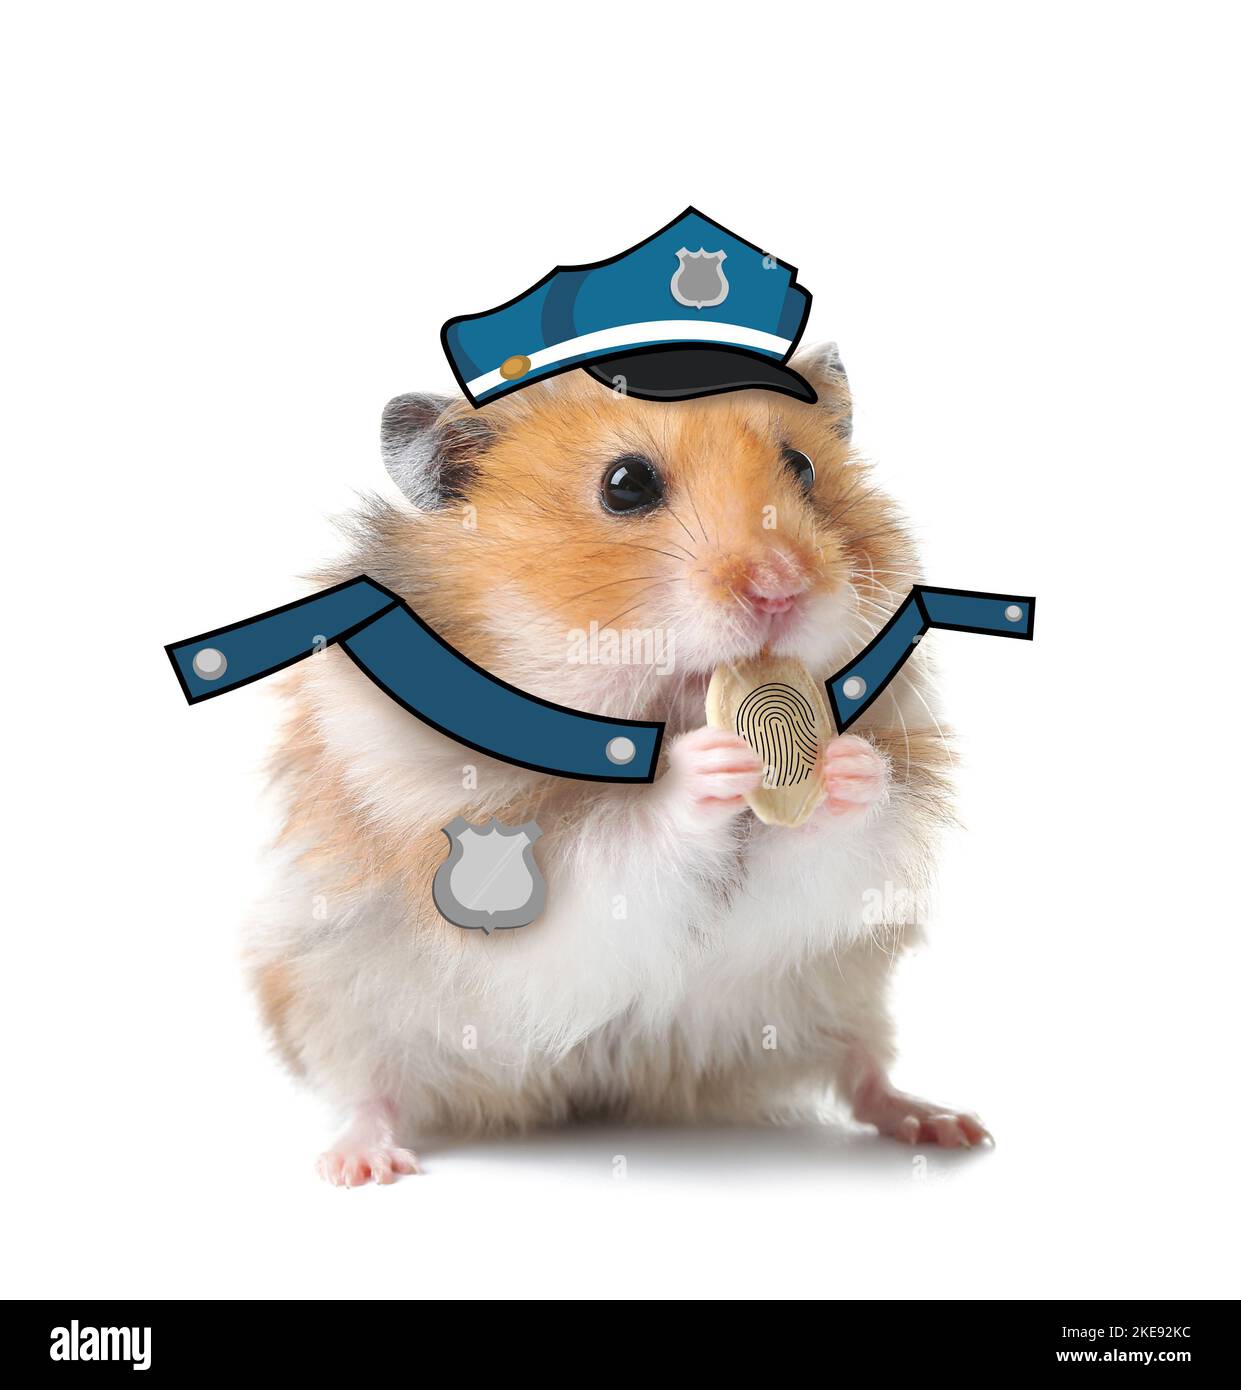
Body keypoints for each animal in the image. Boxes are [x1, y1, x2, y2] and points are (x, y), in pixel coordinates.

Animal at [246, 344, 989, 1185]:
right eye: (625, 485)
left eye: (801, 466)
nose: (781, 589)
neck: (663, 712)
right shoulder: (498, 877)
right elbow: (621, 845)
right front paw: (704, 765)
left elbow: (817, 853)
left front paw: (846, 765)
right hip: (333, 1002)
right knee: (369, 1089)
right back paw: (362, 1163)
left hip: (844, 997)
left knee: (863, 1073)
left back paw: (944, 1125)